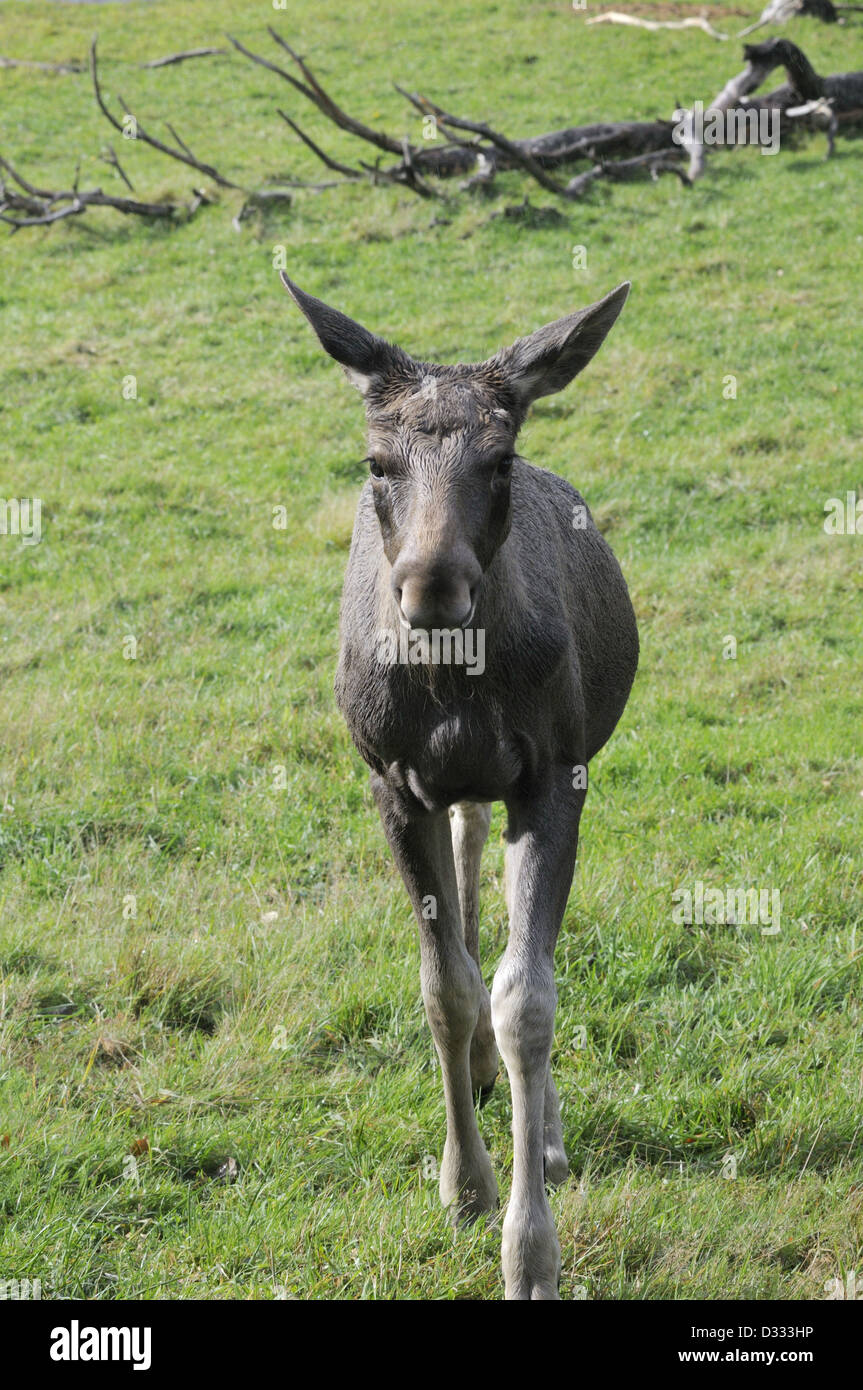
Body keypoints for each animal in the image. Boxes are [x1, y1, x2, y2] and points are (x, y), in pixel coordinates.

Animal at [281, 272, 639, 1300]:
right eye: (375, 460)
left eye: (501, 455)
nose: (431, 585)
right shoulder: (390, 782)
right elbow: (444, 986)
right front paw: (463, 1184)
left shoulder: (555, 775)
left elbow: (530, 998)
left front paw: (531, 1250)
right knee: (470, 861)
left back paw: (545, 1132)